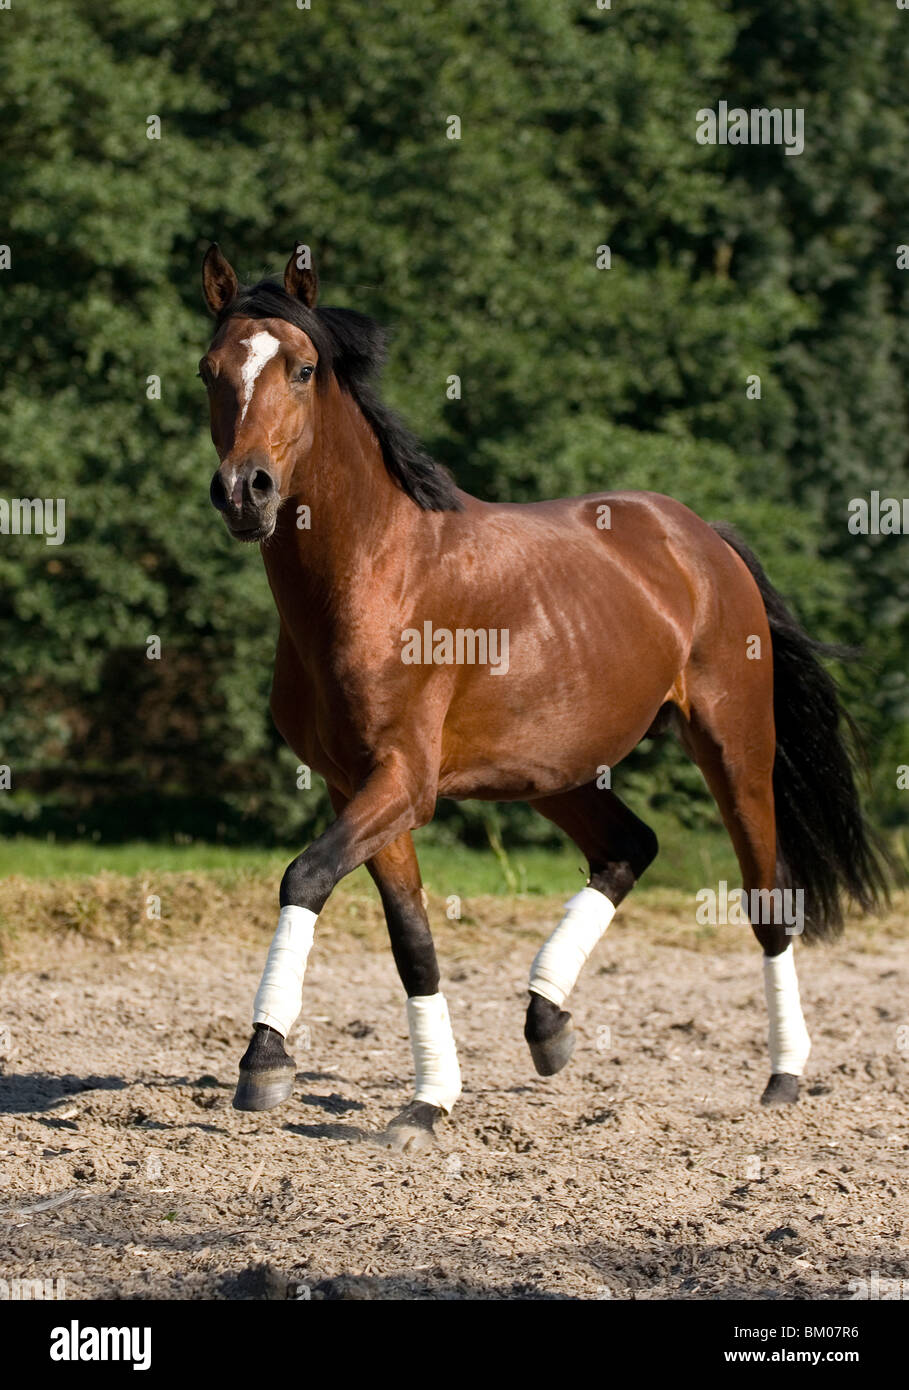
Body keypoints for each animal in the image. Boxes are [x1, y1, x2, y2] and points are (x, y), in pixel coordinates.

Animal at [199, 241, 886, 1152]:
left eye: (304, 369)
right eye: (209, 370)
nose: (246, 491)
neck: (375, 575)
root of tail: (699, 536)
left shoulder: (403, 782)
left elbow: (303, 877)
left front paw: (265, 1060)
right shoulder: (357, 787)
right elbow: (411, 942)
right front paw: (427, 1102)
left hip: (733, 747)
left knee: (767, 904)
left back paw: (782, 1079)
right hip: (555, 771)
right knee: (629, 846)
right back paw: (546, 1023)